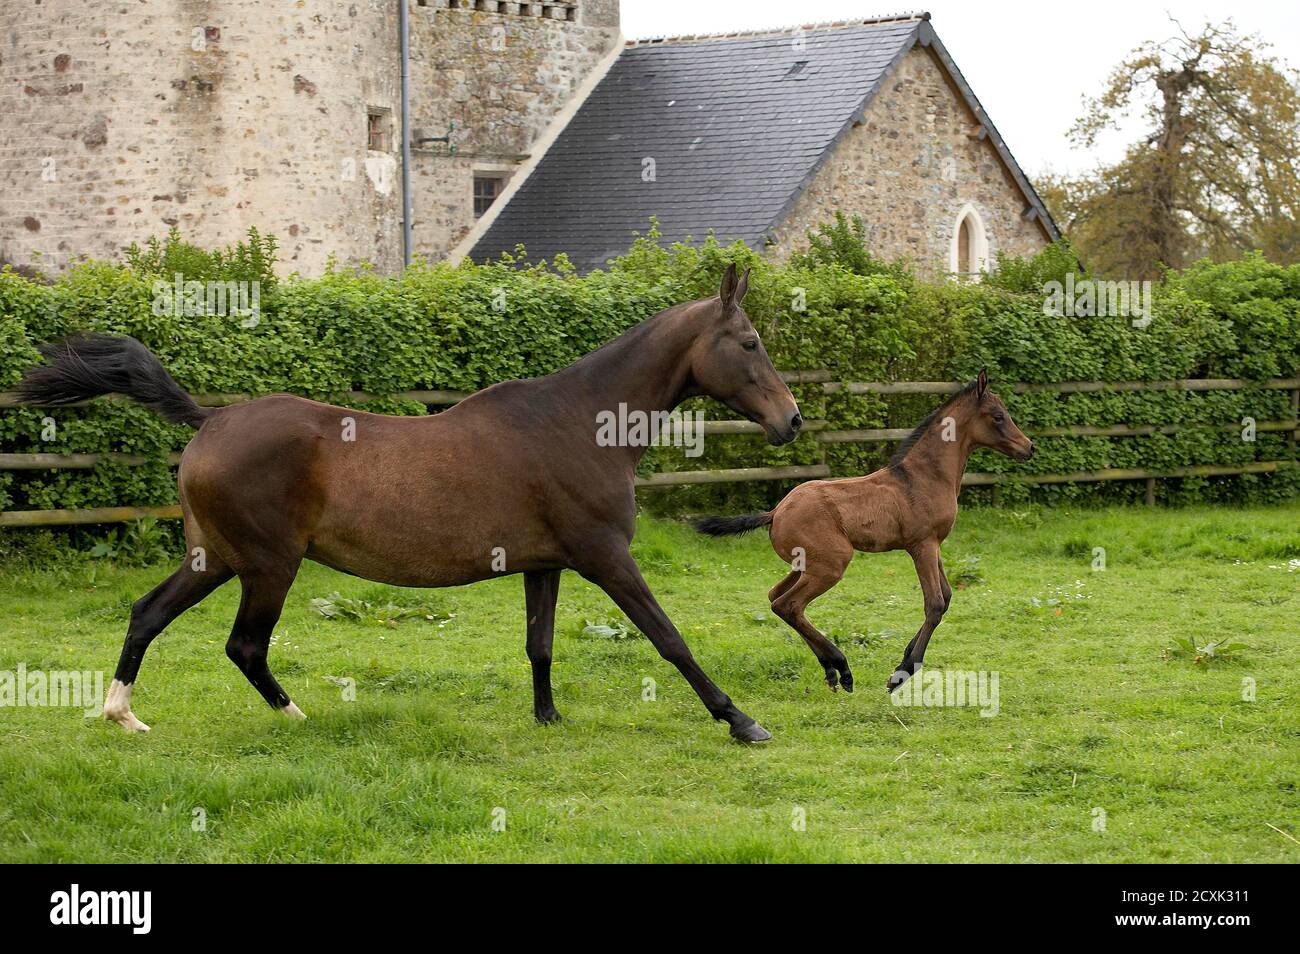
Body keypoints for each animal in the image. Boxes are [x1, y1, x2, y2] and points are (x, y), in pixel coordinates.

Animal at [17, 265, 802, 743]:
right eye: (750, 342)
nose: (792, 421)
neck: (576, 422)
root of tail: (210, 420)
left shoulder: (544, 563)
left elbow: (540, 644)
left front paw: (548, 718)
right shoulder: (605, 557)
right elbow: (669, 639)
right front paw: (741, 721)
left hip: (215, 557)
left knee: (147, 613)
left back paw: (123, 714)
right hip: (268, 565)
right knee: (244, 645)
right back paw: (297, 715)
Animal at [696, 369, 1033, 693]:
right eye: (998, 416)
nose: (1029, 447)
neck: (925, 476)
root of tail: (776, 512)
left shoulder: (934, 544)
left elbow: (947, 597)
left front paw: (905, 660)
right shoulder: (922, 545)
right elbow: (935, 603)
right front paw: (901, 674)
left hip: (805, 565)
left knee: (776, 598)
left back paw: (831, 671)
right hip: (832, 563)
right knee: (788, 604)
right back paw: (841, 668)